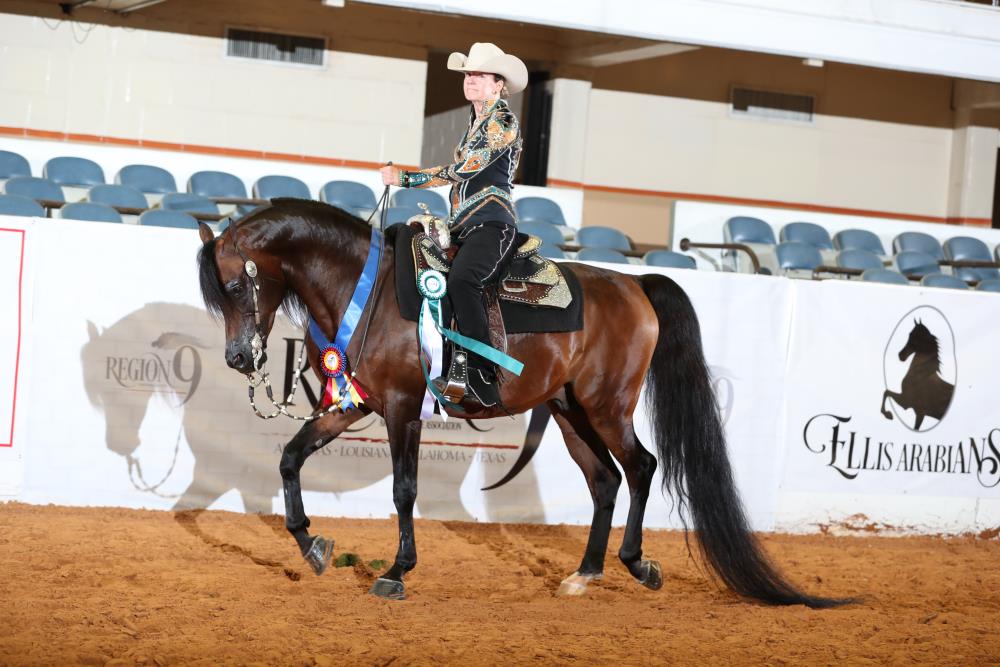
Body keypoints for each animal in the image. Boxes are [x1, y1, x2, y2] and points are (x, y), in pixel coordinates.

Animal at [196, 198, 850, 606]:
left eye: (233, 285)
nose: (238, 358)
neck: (364, 288)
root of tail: (635, 283)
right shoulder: (353, 404)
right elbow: (290, 457)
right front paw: (313, 546)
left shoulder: (404, 407)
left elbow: (404, 490)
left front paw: (396, 573)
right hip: (569, 414)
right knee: (606, 481)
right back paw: (585, 575)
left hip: (607, 407)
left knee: (641, 468)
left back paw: (637, 564)